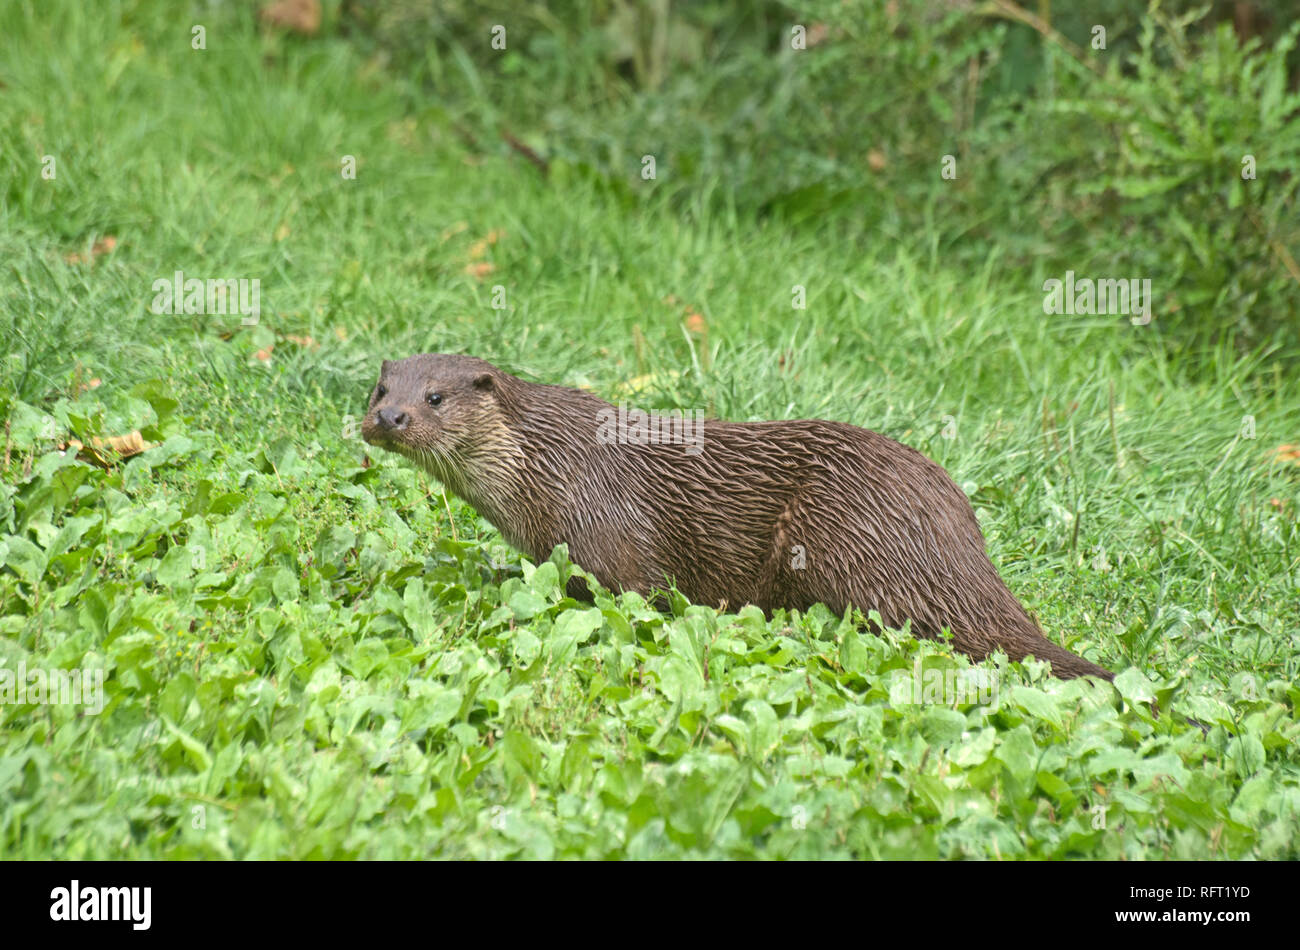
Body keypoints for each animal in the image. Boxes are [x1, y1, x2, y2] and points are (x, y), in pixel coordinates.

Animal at [361, 353, 1112, 681]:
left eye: (434, 397)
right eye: (380, 387)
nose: (389, 418)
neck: (545, 462)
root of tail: (959, 542)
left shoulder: (609, 538)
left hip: (840, 536)